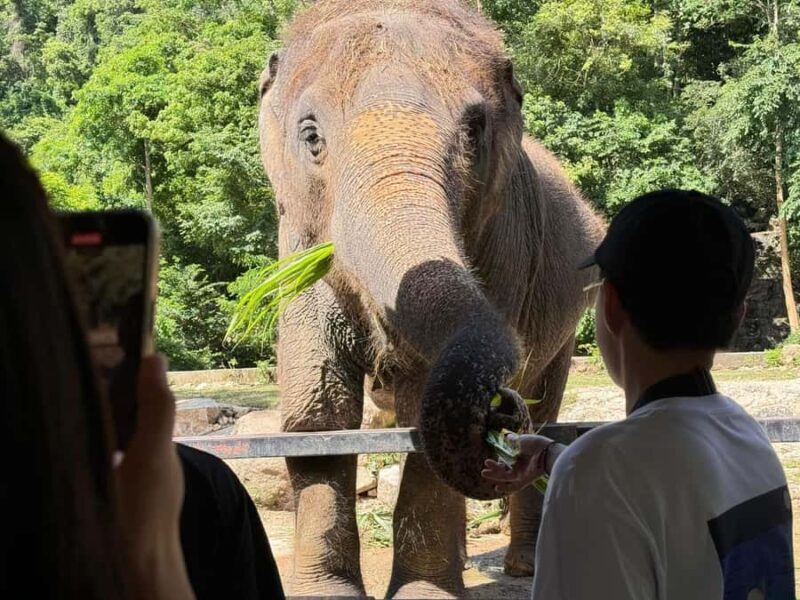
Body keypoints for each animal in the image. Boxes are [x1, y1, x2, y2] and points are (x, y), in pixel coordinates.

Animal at [257, 0, 605, 597]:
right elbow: (318, 411)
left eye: (475, 130)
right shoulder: (296, 248)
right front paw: (327, 592)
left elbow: (428, 409)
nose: (501, 404)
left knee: (545, 408)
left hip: (566, 319)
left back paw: (522, 567)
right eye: (310, 135)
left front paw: (423, 594)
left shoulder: (504, 244)